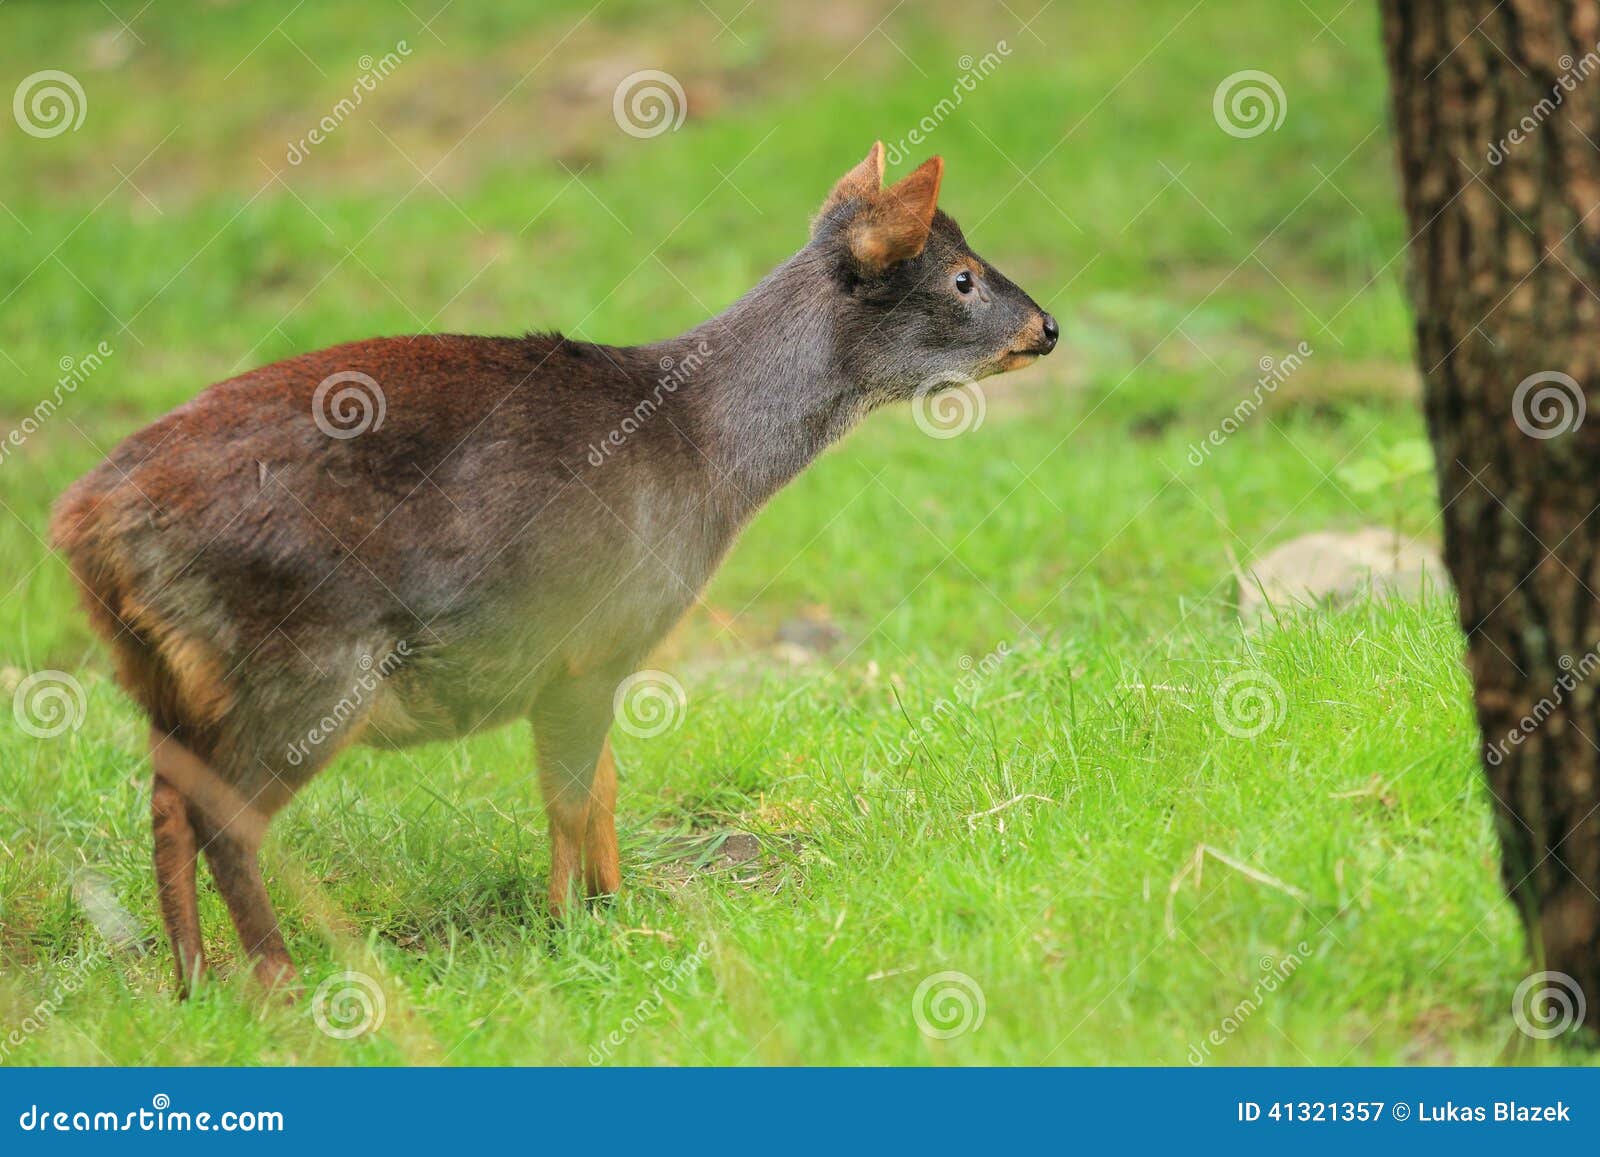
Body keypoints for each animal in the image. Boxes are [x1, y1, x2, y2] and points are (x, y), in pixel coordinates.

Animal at [50, 144, 1056, 998]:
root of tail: (85, 524)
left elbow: (601, 786)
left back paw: (190, 980)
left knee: (166, 799)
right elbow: (572, 795)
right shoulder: (590, 636)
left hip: (170, 676)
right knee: (225, 817)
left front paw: (617, 909)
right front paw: (570, 927)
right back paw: (280, 982)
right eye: (961, 277)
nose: (1048, 326)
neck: (706, 454)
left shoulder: (592, 655)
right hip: (306, 663)